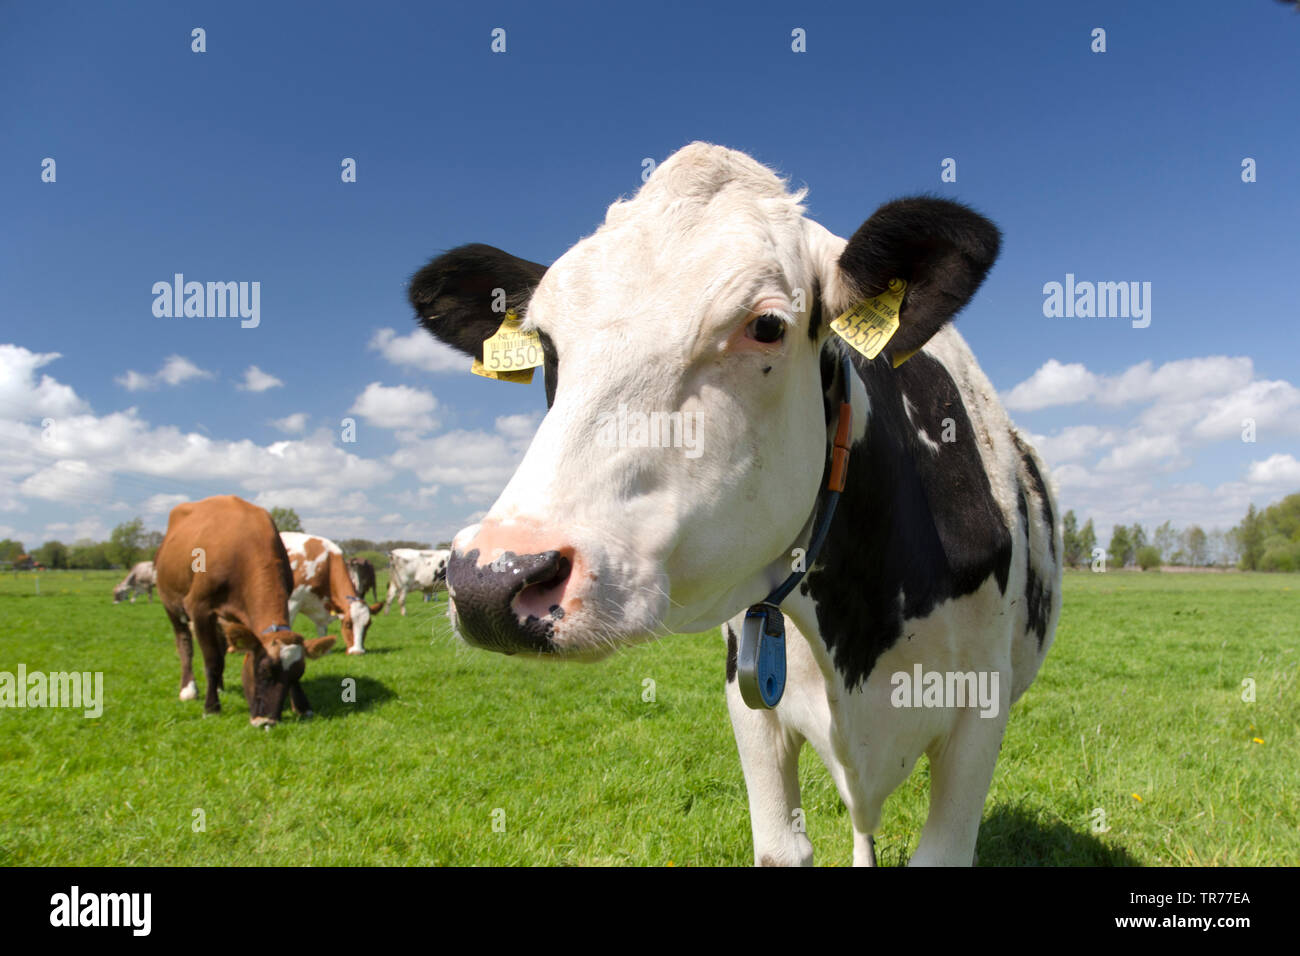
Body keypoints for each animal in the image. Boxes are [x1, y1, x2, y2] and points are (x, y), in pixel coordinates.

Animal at [155, 495, 334, 726]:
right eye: (263, 670)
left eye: (298, 674)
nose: (267, 721)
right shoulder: (200, 608)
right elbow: (212, 660)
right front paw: (211, 707)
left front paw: (302, 706)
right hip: (170, 603)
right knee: (184, 643)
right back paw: (189, 688)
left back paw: (219, 686)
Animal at [407, 143, 1062, 866]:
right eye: (547, 345)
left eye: (767, 326)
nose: (493, 577)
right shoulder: (750, 707)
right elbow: (784, 847)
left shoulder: (982, 713)